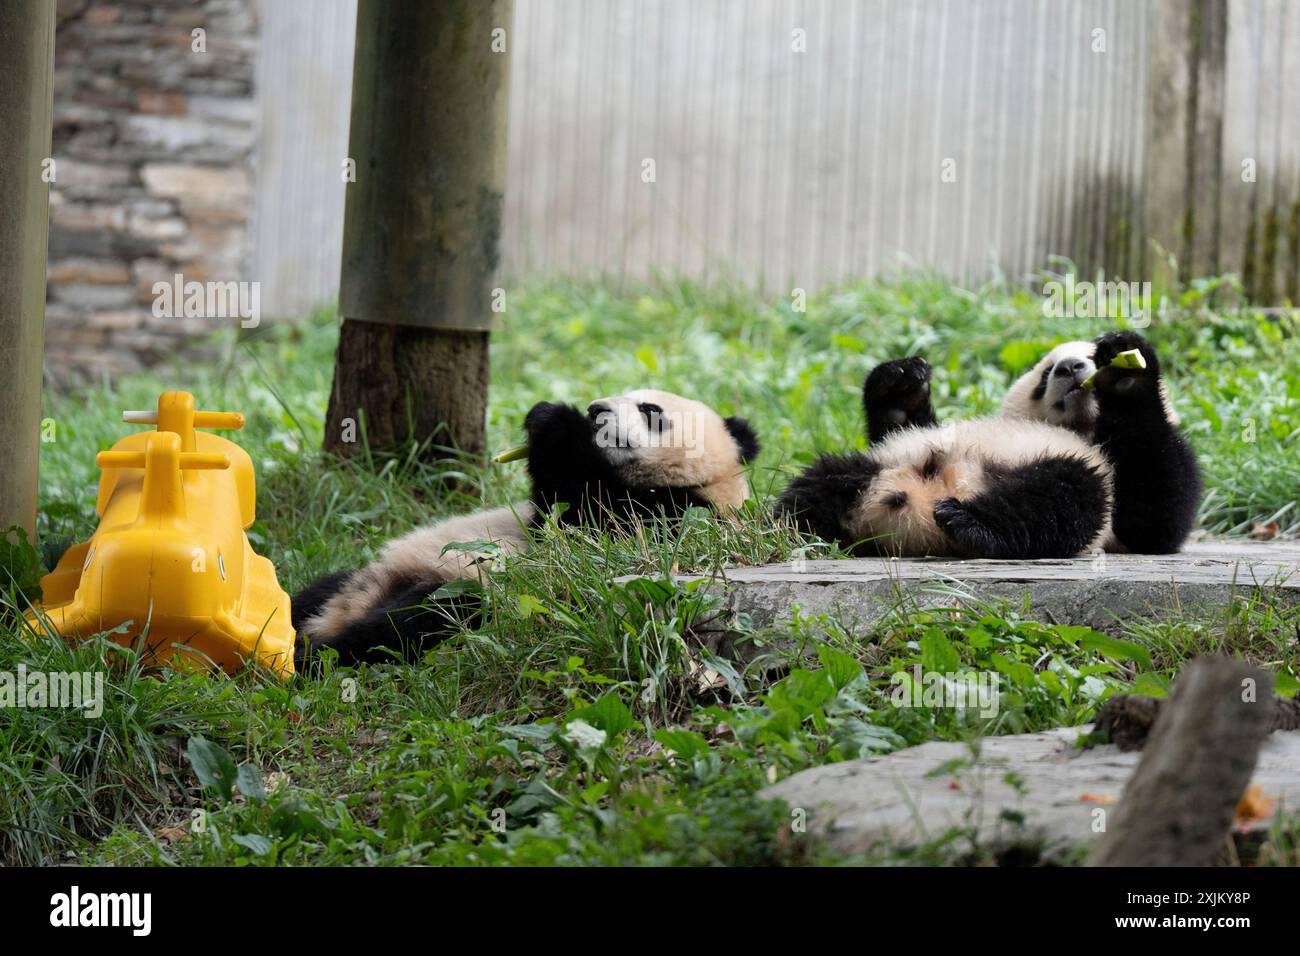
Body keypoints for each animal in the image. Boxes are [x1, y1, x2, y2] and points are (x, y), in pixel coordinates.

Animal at [292, 389, 760, 666]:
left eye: (650, 410)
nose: (596, 410)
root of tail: (349, 605)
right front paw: (546, 415)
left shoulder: (672, 520)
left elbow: (586, 524)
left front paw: (558, 422)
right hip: (362, 575)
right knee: (311, 594)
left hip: (470, 592)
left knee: (414, 624)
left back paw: (309, 656)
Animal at [777, 331, 1201, 559]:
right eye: (1046, 373)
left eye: (1090, 358)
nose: (1070, 368)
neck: (1082, 426)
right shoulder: (903, 439)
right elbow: (902, 423)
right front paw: (900, 382)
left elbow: (1154, 517)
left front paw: (1125, 370)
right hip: (879, 466)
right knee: (820, 481)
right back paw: (789, 525)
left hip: (1066, 481)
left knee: (1064, 495)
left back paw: (972, 523)